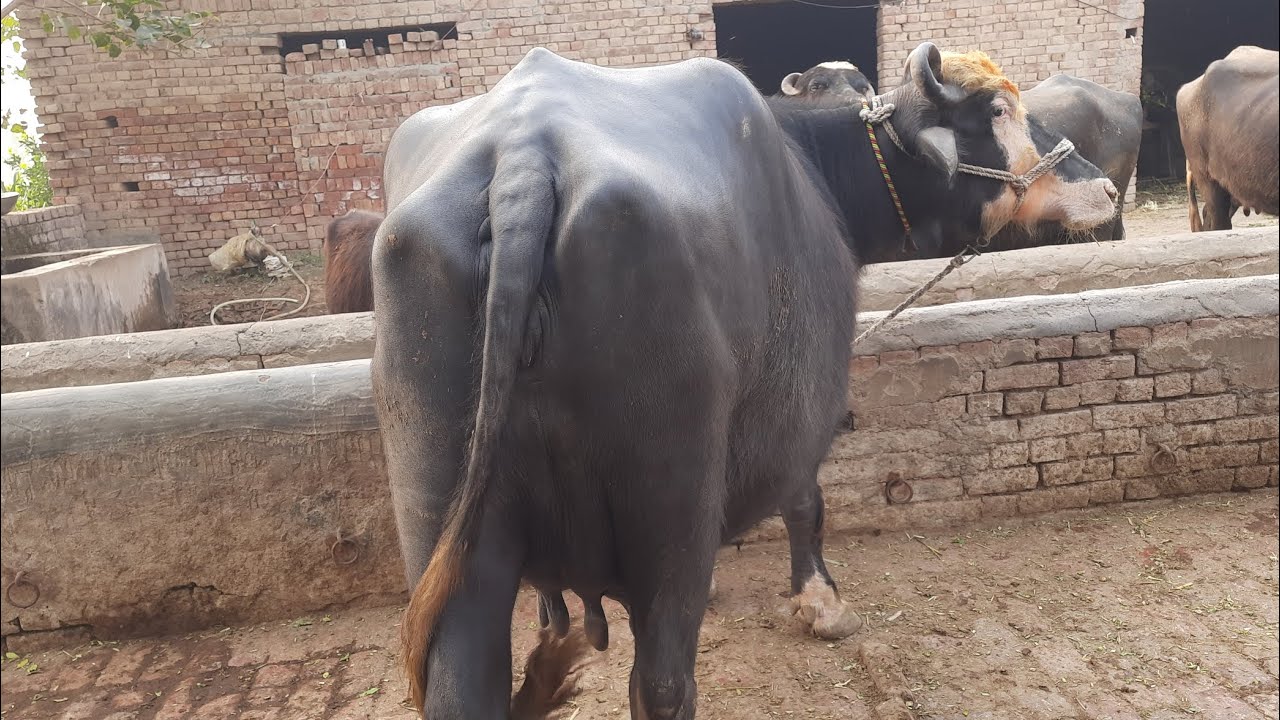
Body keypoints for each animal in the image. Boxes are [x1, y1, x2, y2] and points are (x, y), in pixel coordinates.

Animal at [373, 43, 1115, 718]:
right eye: (998, 111)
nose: (1106, 188)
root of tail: (524, 166)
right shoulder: (803, 413)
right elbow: (807, 503)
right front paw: (822, 603)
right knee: (662, 683)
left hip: (446, 523)